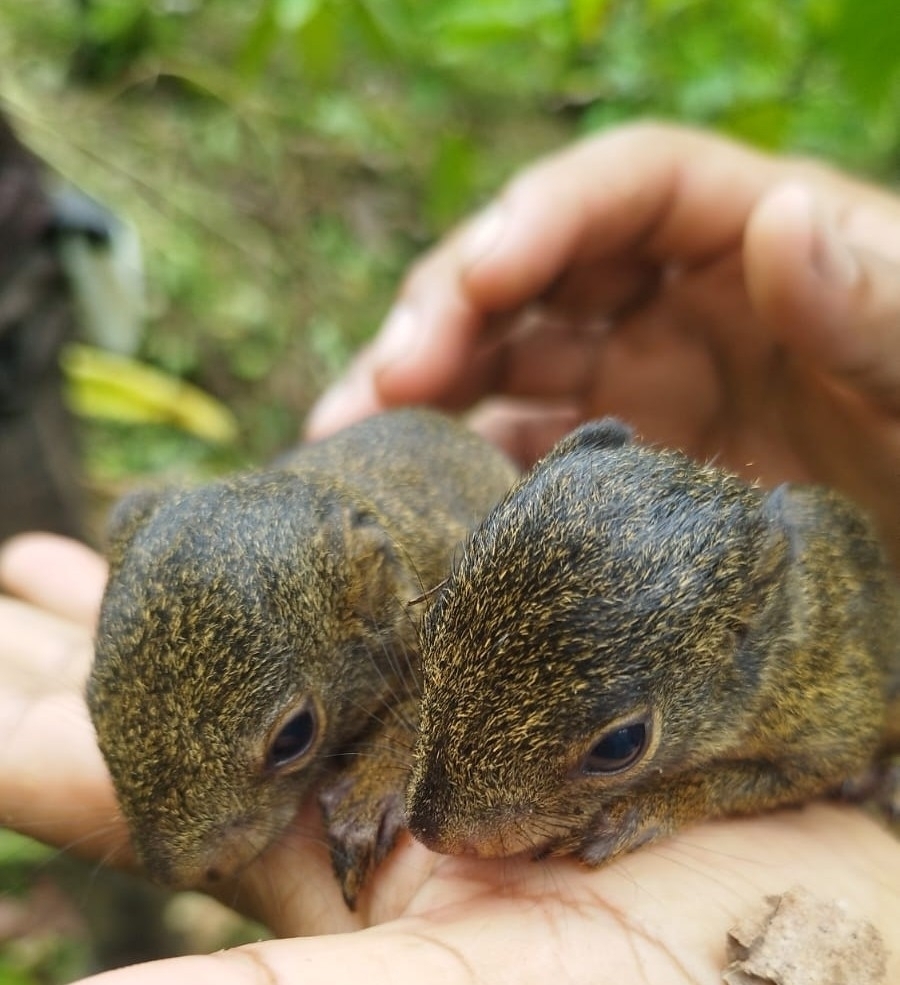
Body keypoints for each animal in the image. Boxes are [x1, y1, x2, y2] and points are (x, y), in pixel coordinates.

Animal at [406, 418, 900, 864]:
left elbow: (726, 785)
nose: (431, 832)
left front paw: (634, 813)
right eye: (430, 629)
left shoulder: (831, 727)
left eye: (620, 746)